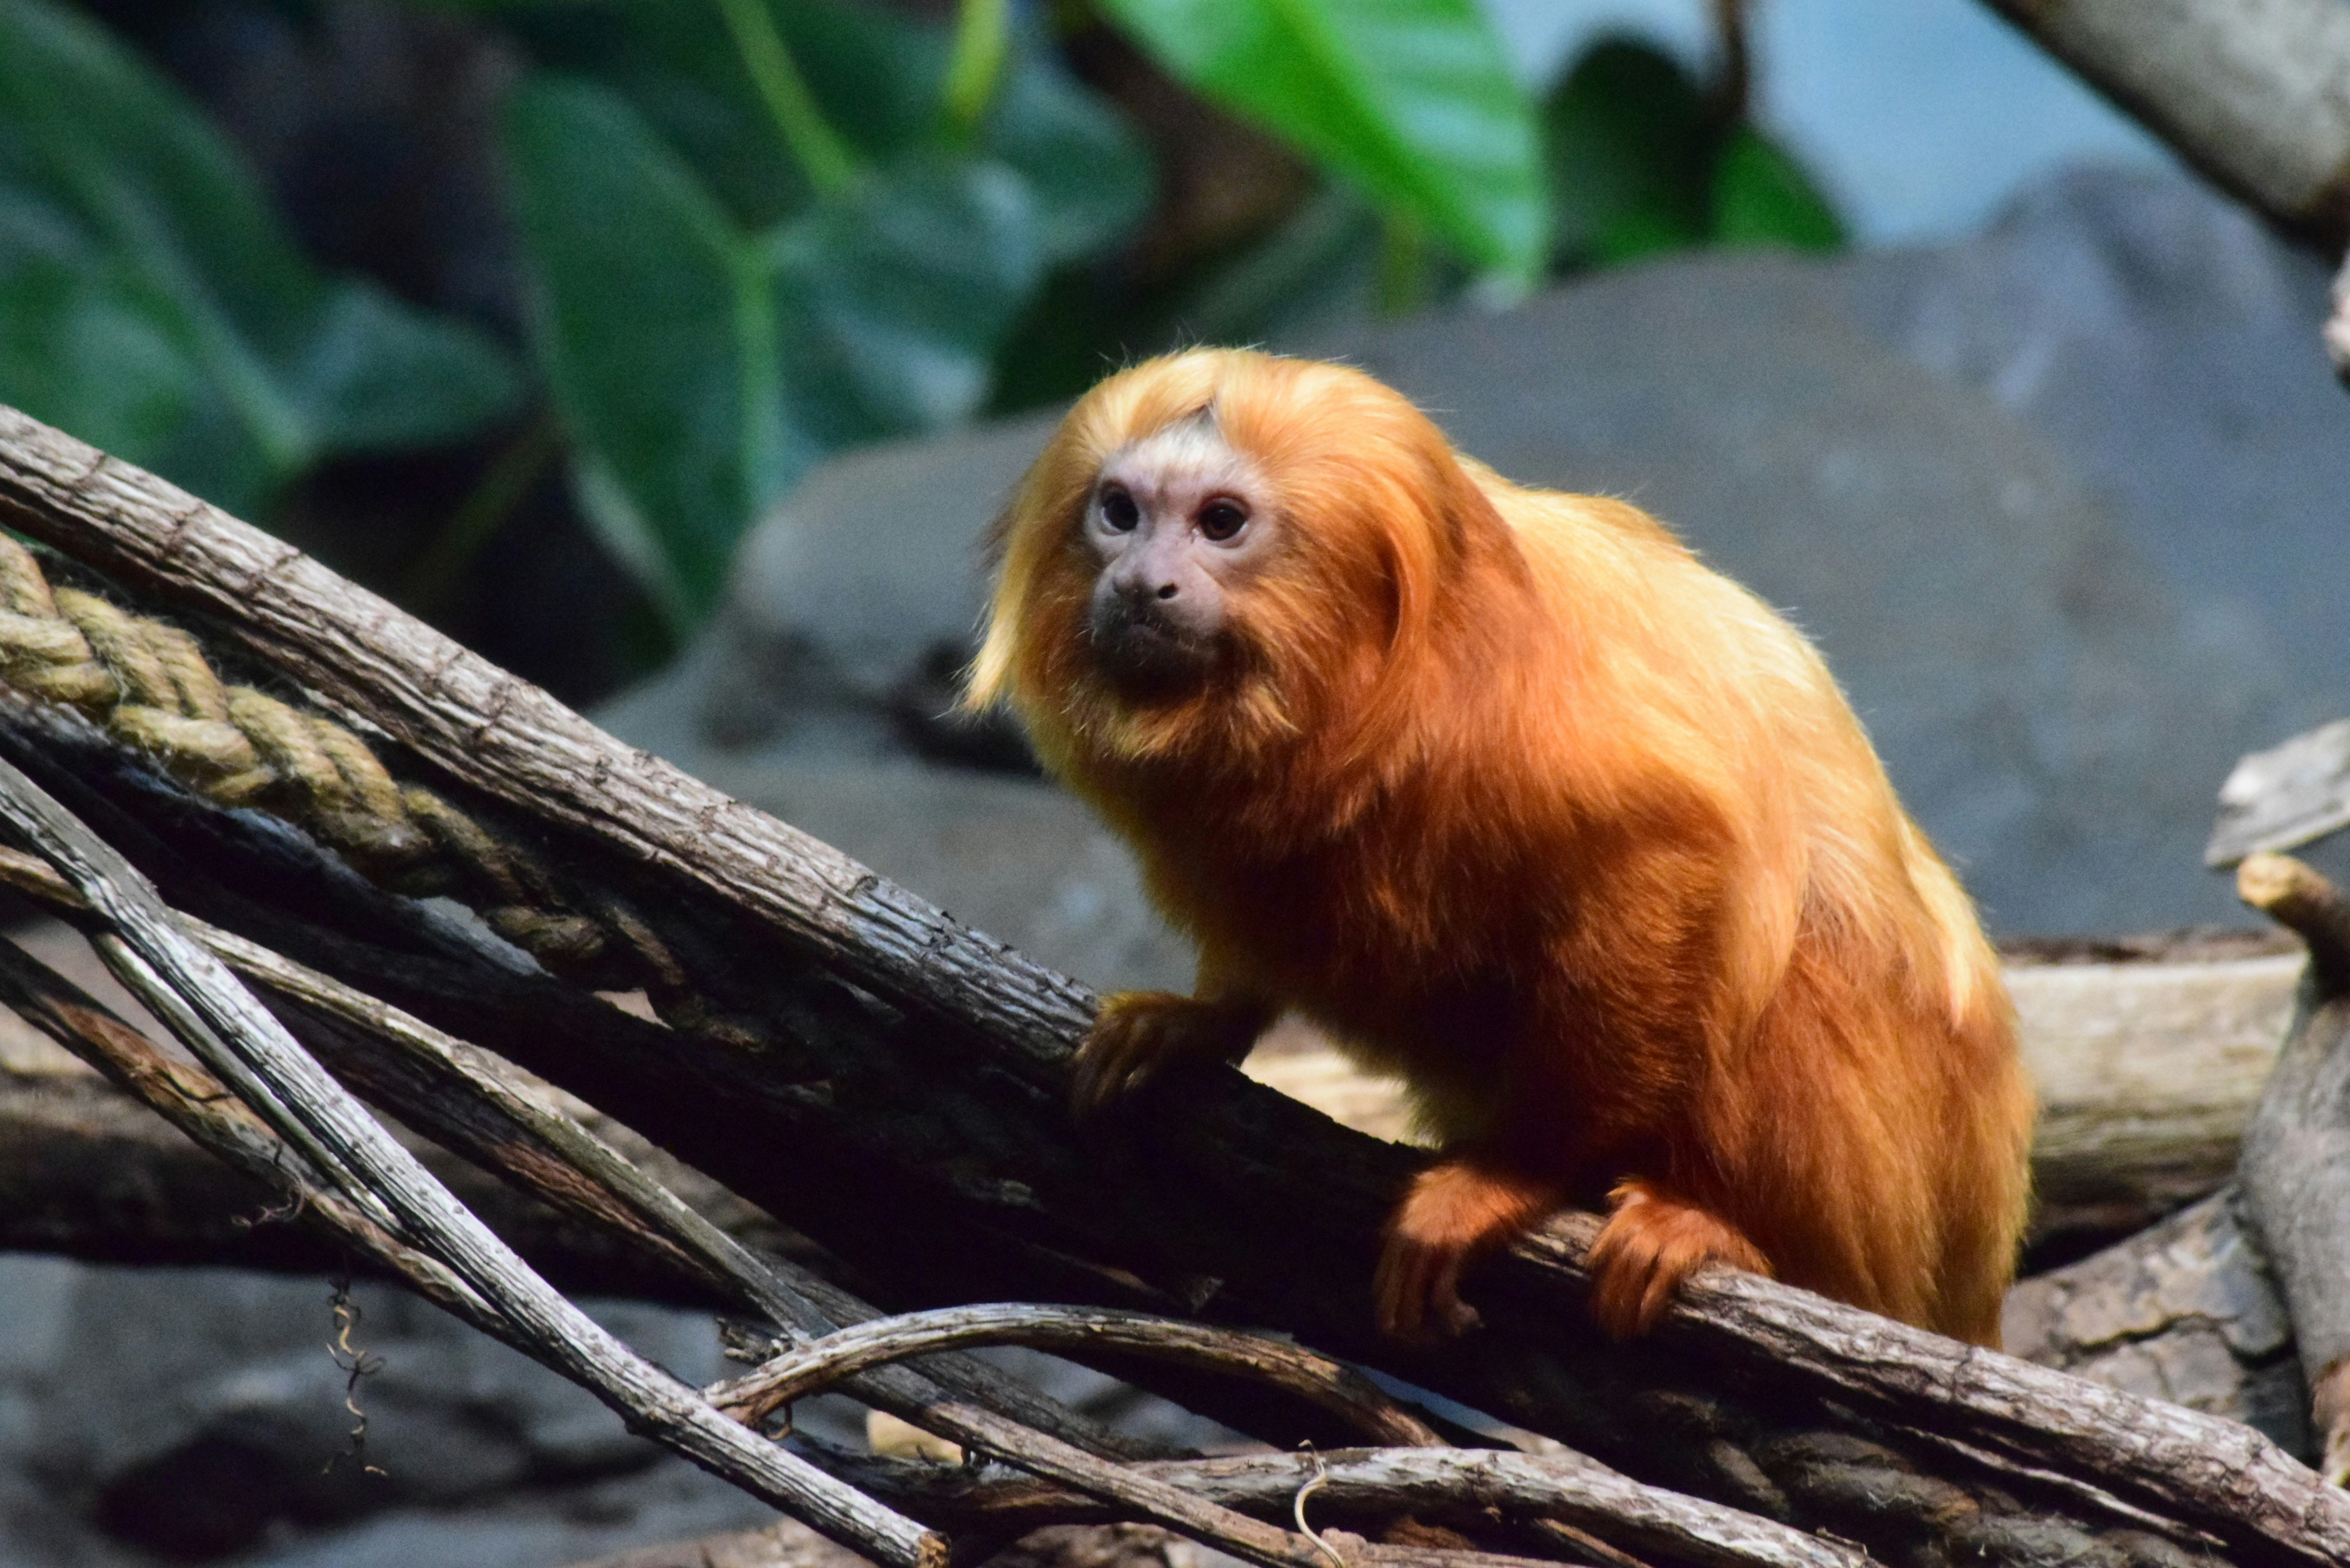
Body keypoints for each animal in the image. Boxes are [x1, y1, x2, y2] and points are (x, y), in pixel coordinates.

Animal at [963, 348, 2035, 1347]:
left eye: (1221, 521)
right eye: (1119, 512)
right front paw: (1201, 1021)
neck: (1359, 675)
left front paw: (1514, 1176)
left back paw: (1729, 1234)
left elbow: (1673, 848)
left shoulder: (1526, 718)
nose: (1142, 584)